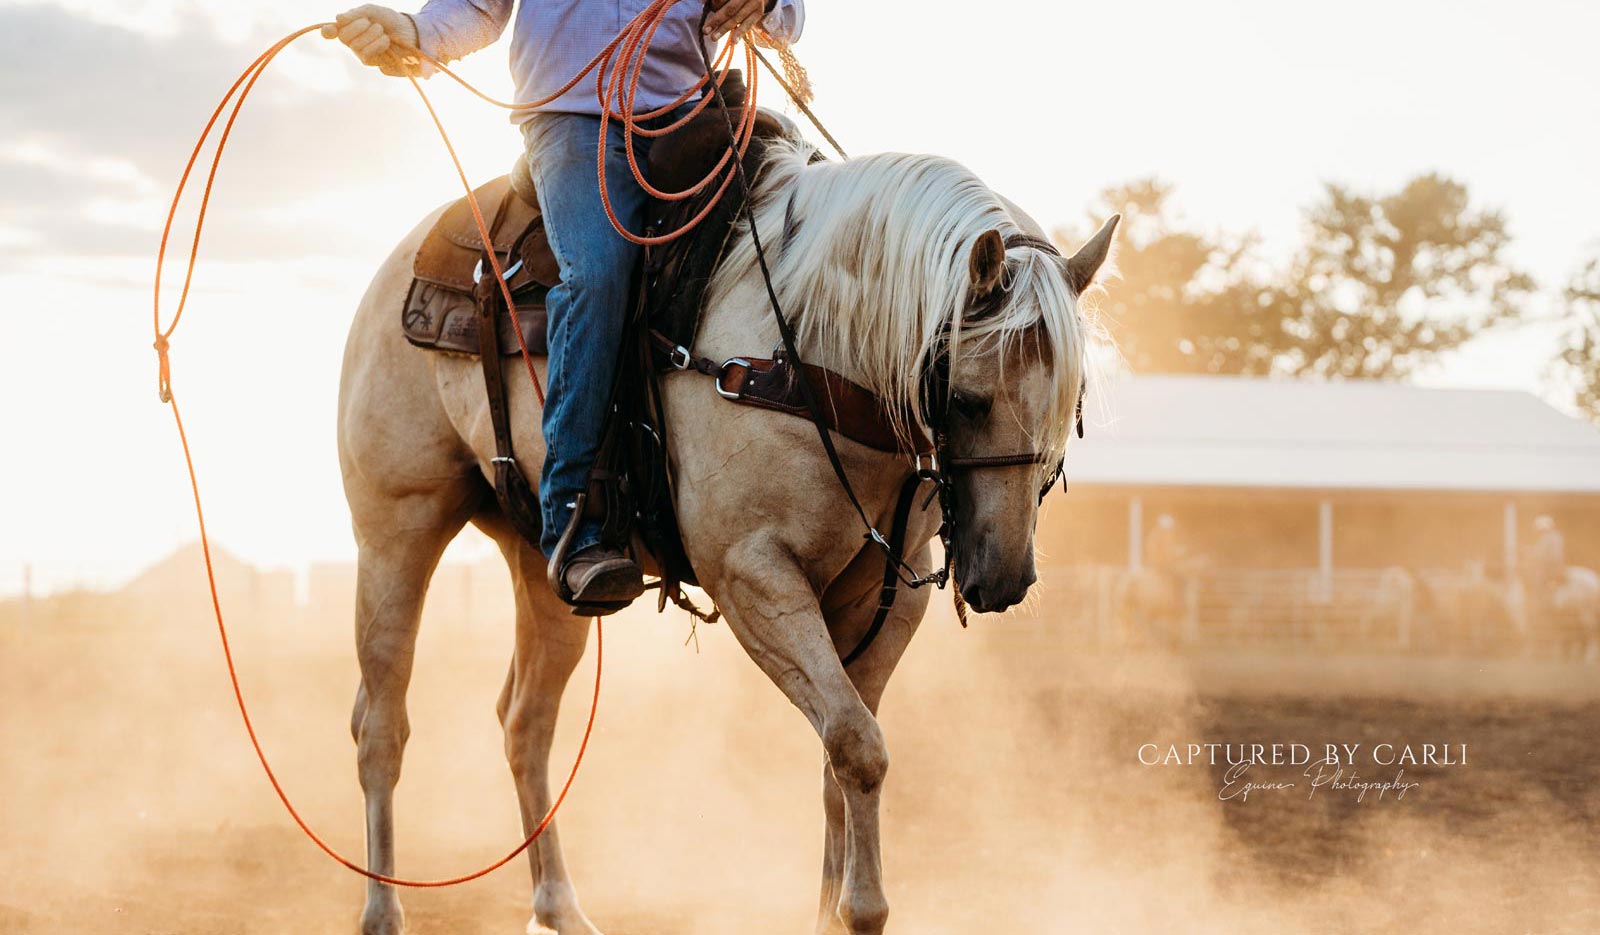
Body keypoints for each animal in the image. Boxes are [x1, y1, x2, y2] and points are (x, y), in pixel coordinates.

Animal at [336, 139, 1112, 935]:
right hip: (397, 529)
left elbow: (840, 754)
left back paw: (562, 908)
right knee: (381, 724)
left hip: (545, 571)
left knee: (526, 722)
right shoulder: (754, 577)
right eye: (967, 399)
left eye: (1070, 402)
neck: (804, 357)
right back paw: (384, 911)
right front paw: (862, 909)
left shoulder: (884, 596)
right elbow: (857, 744)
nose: (1004, 577)